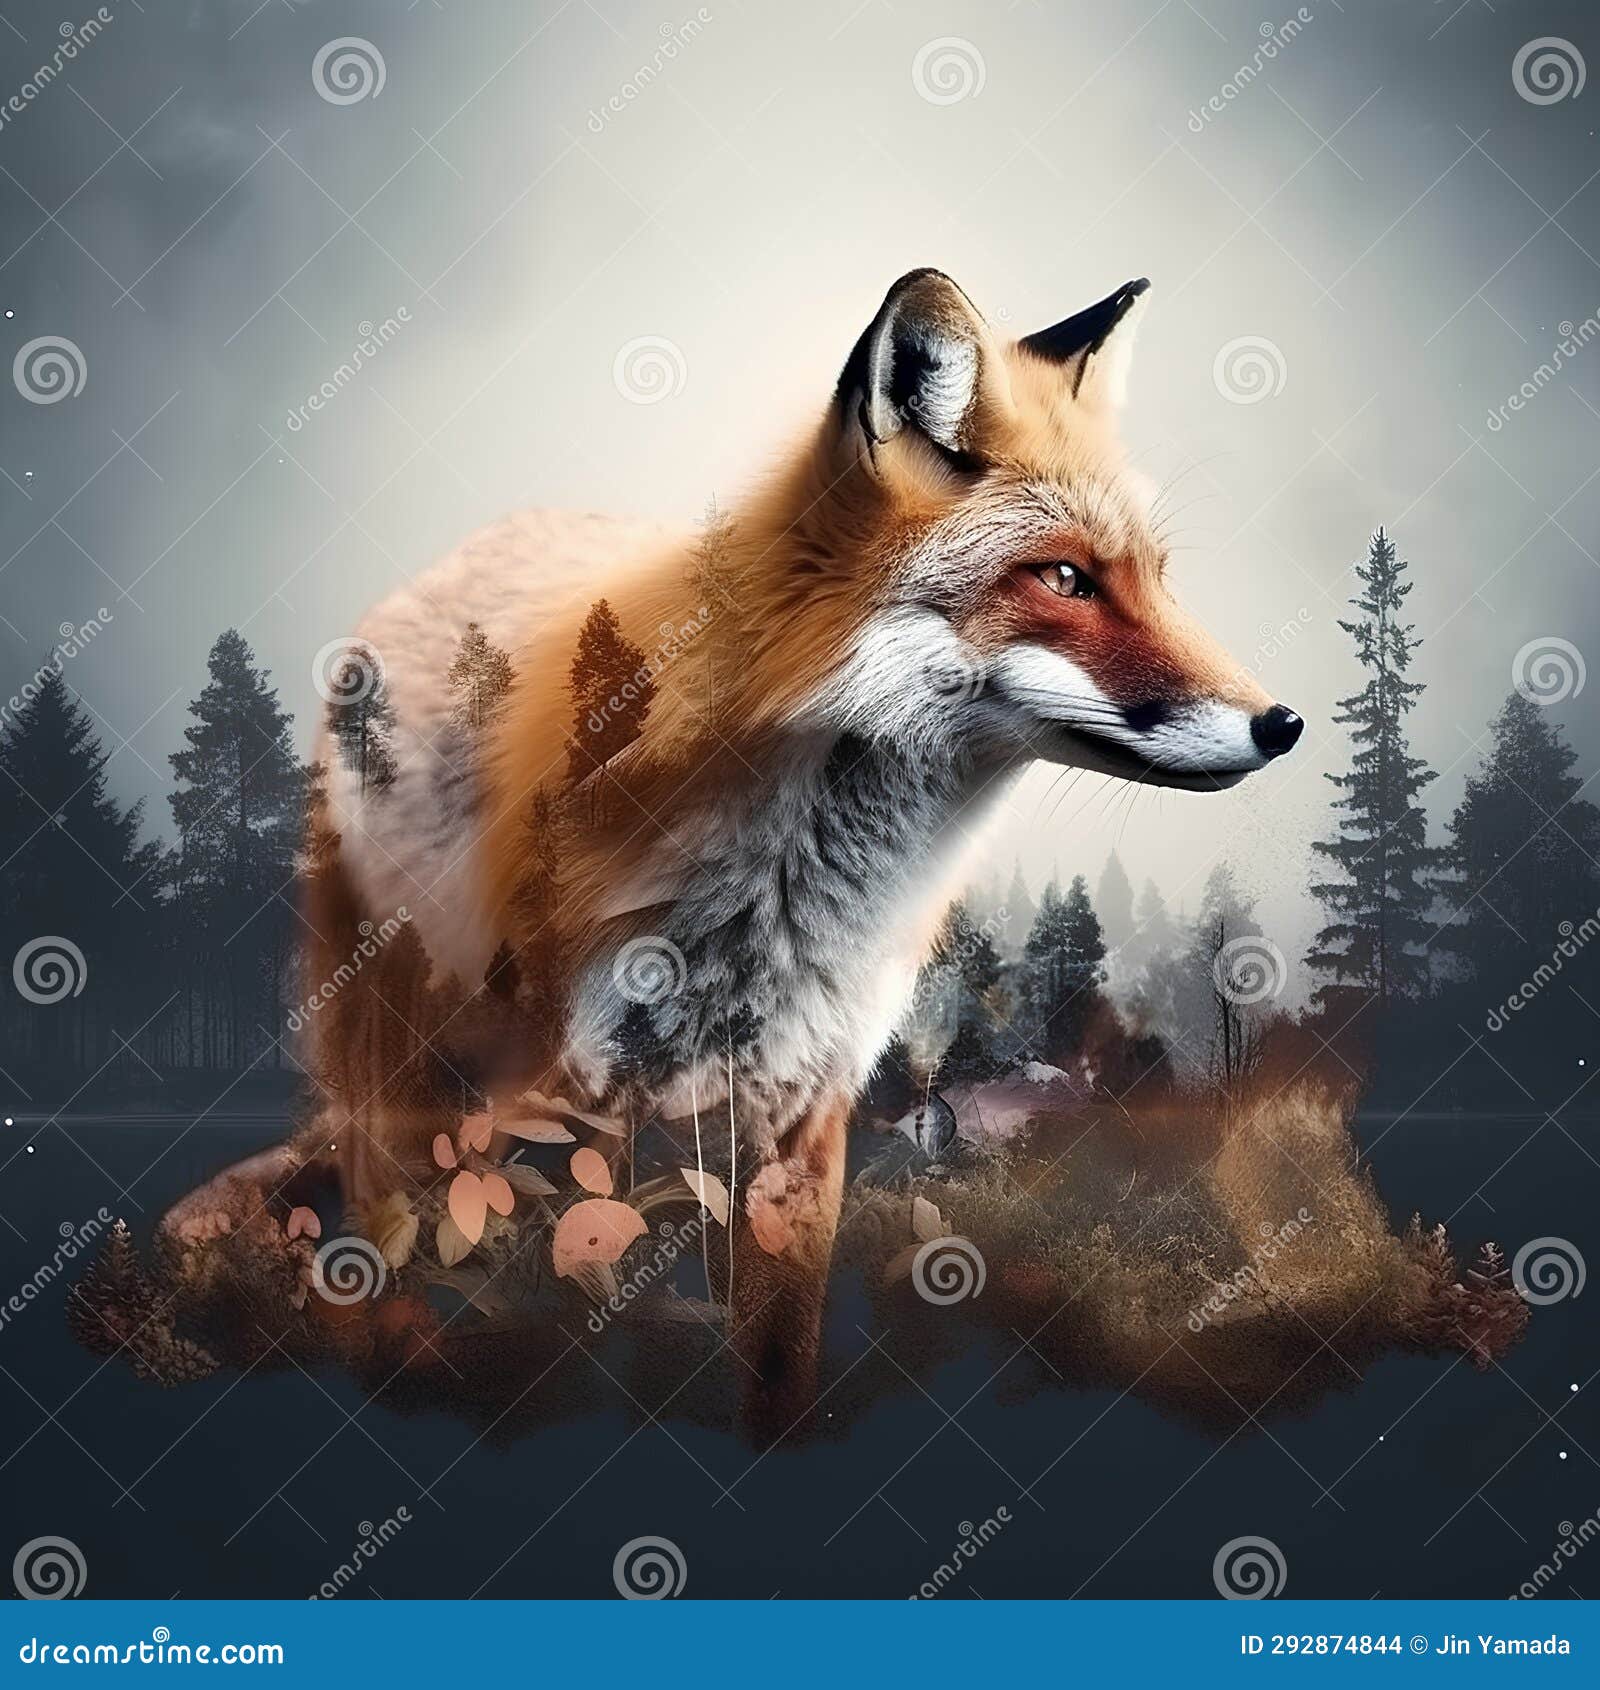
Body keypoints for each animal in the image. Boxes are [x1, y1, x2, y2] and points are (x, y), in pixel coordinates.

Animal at [278, 270, 1303, 1422]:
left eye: (1158, 577)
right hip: (408, 1074)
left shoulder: (802, 1107)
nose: (1283, 724)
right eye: (1065, 579)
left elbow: (775, 1361)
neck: (782, 899)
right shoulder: (572, 1100)